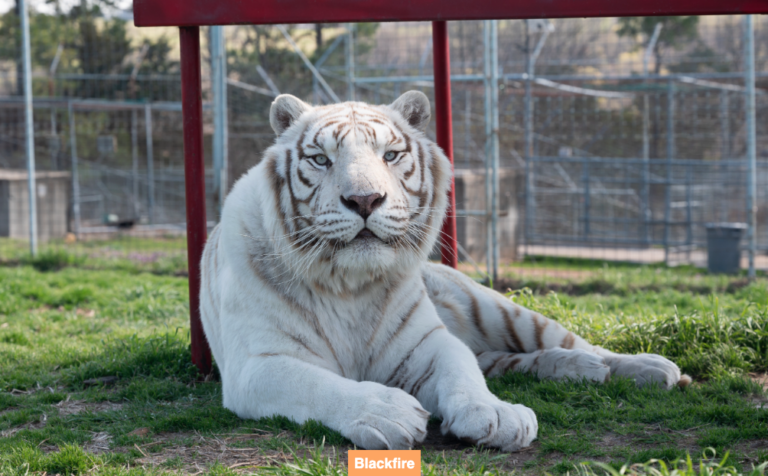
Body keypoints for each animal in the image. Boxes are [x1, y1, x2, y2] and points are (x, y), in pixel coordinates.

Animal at [199, 91, 690, 452]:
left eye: (391, 155)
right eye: (321, 159)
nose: (364, 200)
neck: (350, 286)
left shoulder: (427, 342)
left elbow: (463, 372)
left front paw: (495, 413)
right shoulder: (258, 364)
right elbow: (318, 385)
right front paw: (388, 412)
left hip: (499, 308)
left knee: (566, 343)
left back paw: (642, 366)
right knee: (503, 359)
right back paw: (582, 370)